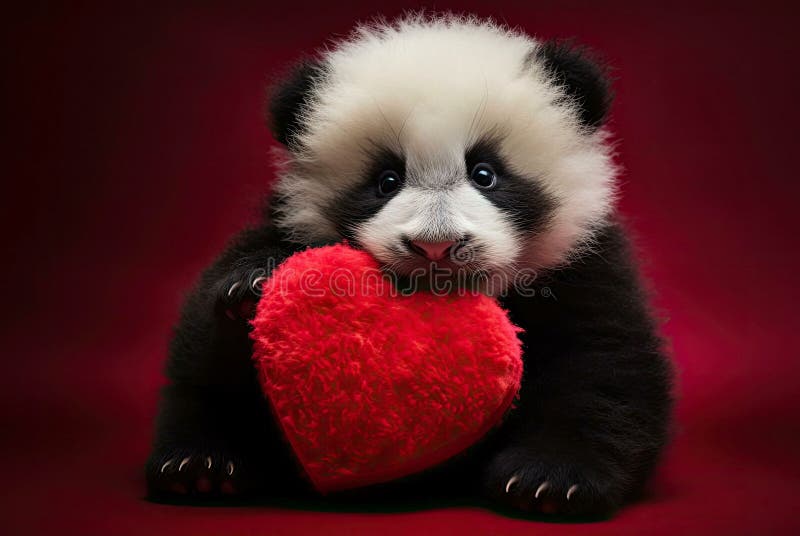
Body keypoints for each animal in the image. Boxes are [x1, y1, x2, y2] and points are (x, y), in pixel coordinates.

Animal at [147, 14, 673, 517]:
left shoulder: (583, 264)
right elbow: (210, 350)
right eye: (386, 179)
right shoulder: (282, 223)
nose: (435, 247)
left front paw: (550, 482)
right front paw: (254, 289)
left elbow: (602, 364)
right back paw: (199, 468)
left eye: (485, 174)